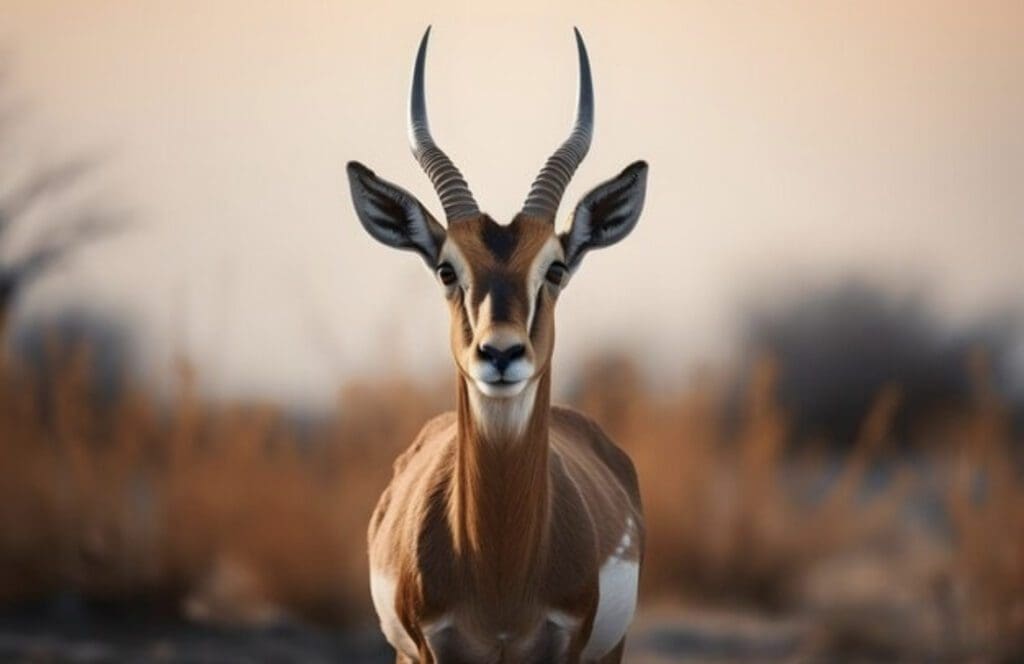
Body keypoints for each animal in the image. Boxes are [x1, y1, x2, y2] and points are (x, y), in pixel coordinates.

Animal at [347, 27, 648, 664]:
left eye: (555, 268)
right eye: (445, 270)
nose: (501, 354)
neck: (500, 579)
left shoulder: (566, 647)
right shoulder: (433, 648)